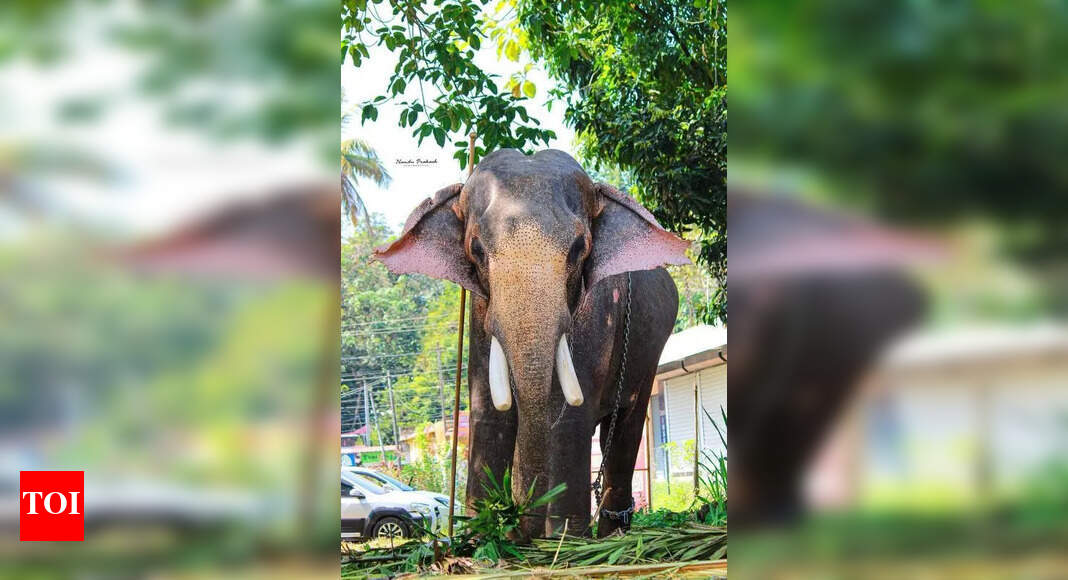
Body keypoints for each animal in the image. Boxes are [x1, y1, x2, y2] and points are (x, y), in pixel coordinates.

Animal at [373, 149, 689, 538]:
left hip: (650, 353)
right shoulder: (480, 314)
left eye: (579, 249)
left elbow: (570, 415)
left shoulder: (598, 310)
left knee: (624, 428)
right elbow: (488, 411)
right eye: (476, 248)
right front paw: (481, 537)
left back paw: (611, 535)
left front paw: (566, 540)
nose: (525, 526)